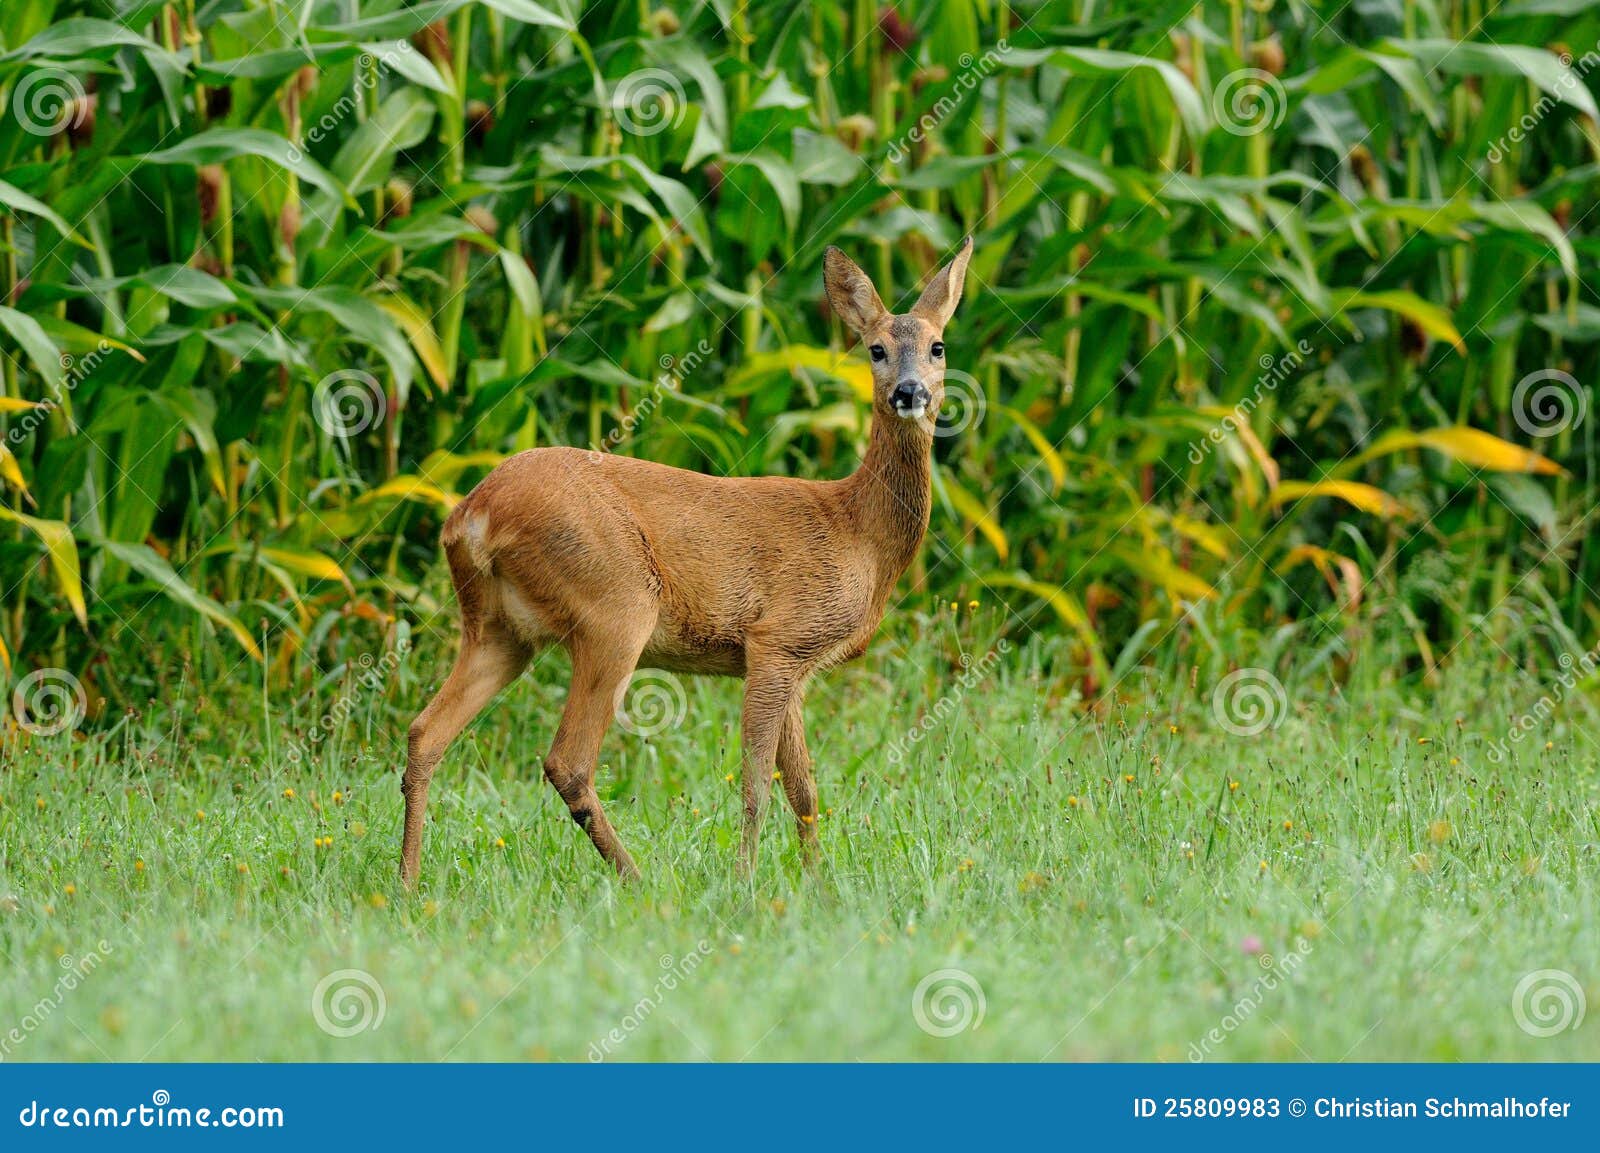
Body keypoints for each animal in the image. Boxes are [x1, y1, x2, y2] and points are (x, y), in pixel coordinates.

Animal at [399, 237, 973, 886]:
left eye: (938, 346)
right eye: (876, 349)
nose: (910, 392)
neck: (858, 533)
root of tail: (472, 514)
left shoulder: (795, 662)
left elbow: (804, 788)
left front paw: (818, 882)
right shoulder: (778, 639)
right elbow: (758, 783)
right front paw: (747, 880)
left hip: (498, 628)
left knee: (425, 733)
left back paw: (408, 884)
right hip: (615, 607)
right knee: (567, 762)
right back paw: (639, 880)